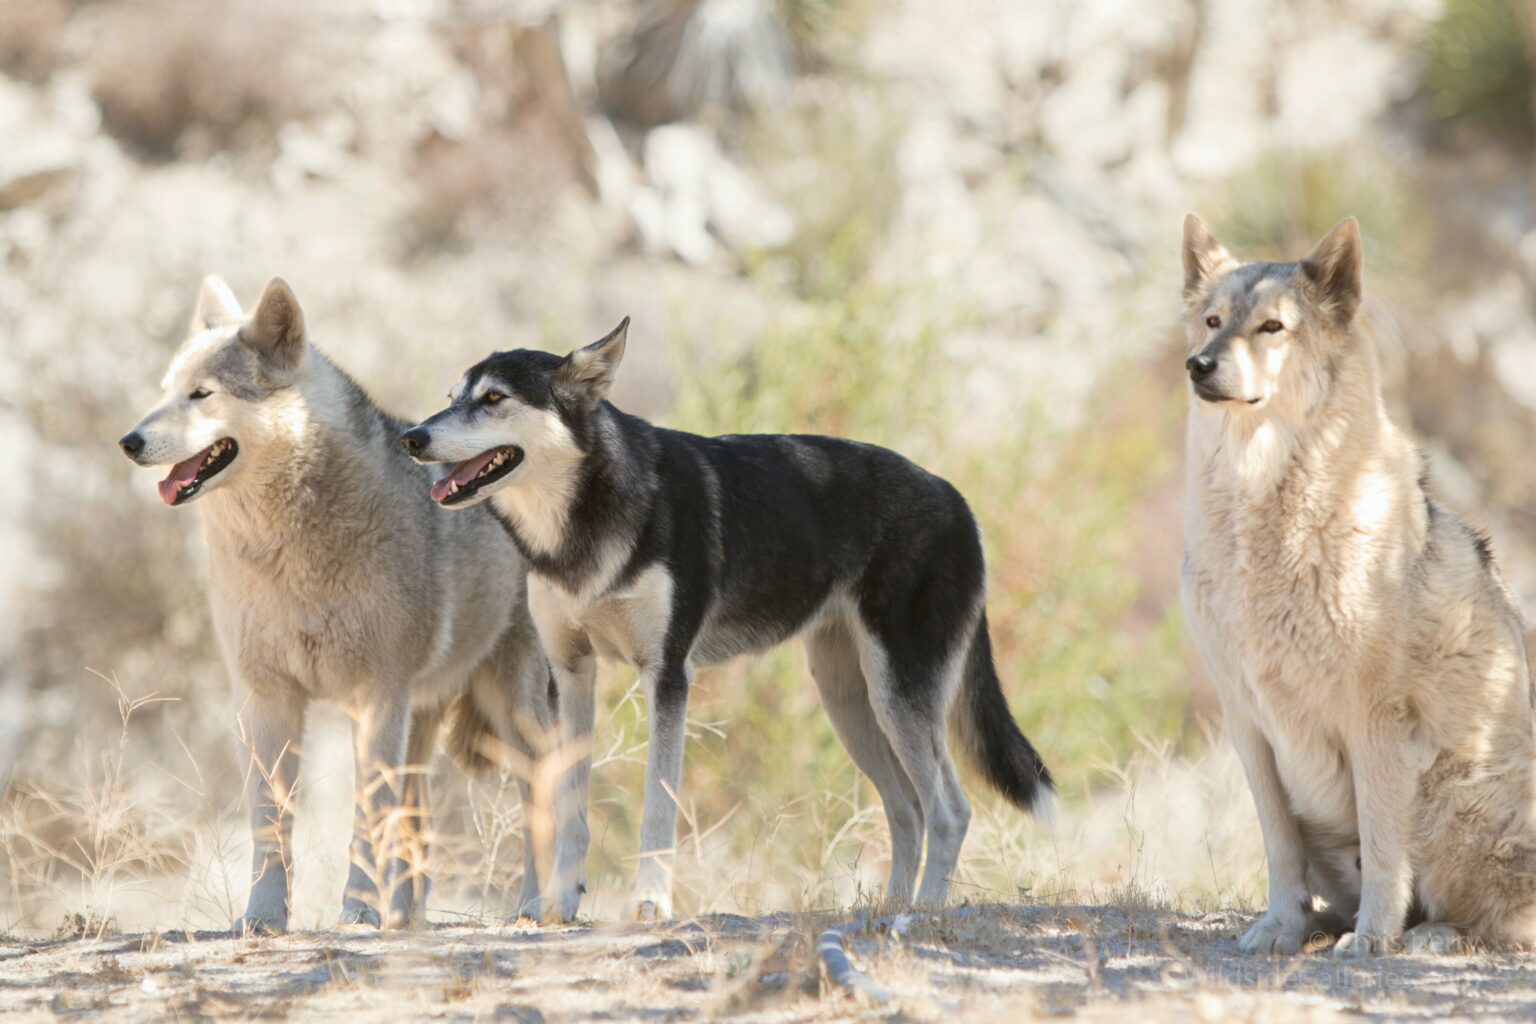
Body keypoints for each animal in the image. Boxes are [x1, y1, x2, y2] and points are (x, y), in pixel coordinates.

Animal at [118, 277, 562, 932]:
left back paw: (539, 905)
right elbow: (270, 821)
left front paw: (357, 913)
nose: (129, 442)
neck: (285, 552)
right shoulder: (265, 699)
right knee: (418, 828)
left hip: (511, 716)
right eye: (165, 392)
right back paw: (407, 918)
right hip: (424, 725)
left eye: (202, 394)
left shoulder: (377, 700)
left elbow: (366, 820)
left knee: (543, 800)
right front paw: (262, 918)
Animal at [399, 318, 1055, 921]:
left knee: (949, 811)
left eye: (494, 399)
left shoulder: (667, 678)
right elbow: (569, 809)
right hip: (852, 705)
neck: (583, 524)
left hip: (897, 701)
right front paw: (558, 904)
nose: (412, 437)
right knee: (909, 810)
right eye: (453, 395)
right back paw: (888, 907)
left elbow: (657, 807)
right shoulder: (571, 673)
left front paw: (651, 904)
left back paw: (921, 912)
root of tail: (957, 499)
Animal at [1181, 215, 1536, 955]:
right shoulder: (1246, 721)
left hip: (1450, 800)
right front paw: (1280, 928)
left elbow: (1382, 847)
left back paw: (1429, 937)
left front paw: (1374, 939)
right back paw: (1327, 925)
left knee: (1502, 920)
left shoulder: (1373, 722)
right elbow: (1277, 847)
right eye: (1212, 322)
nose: (1199, 365)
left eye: (1272, 327)